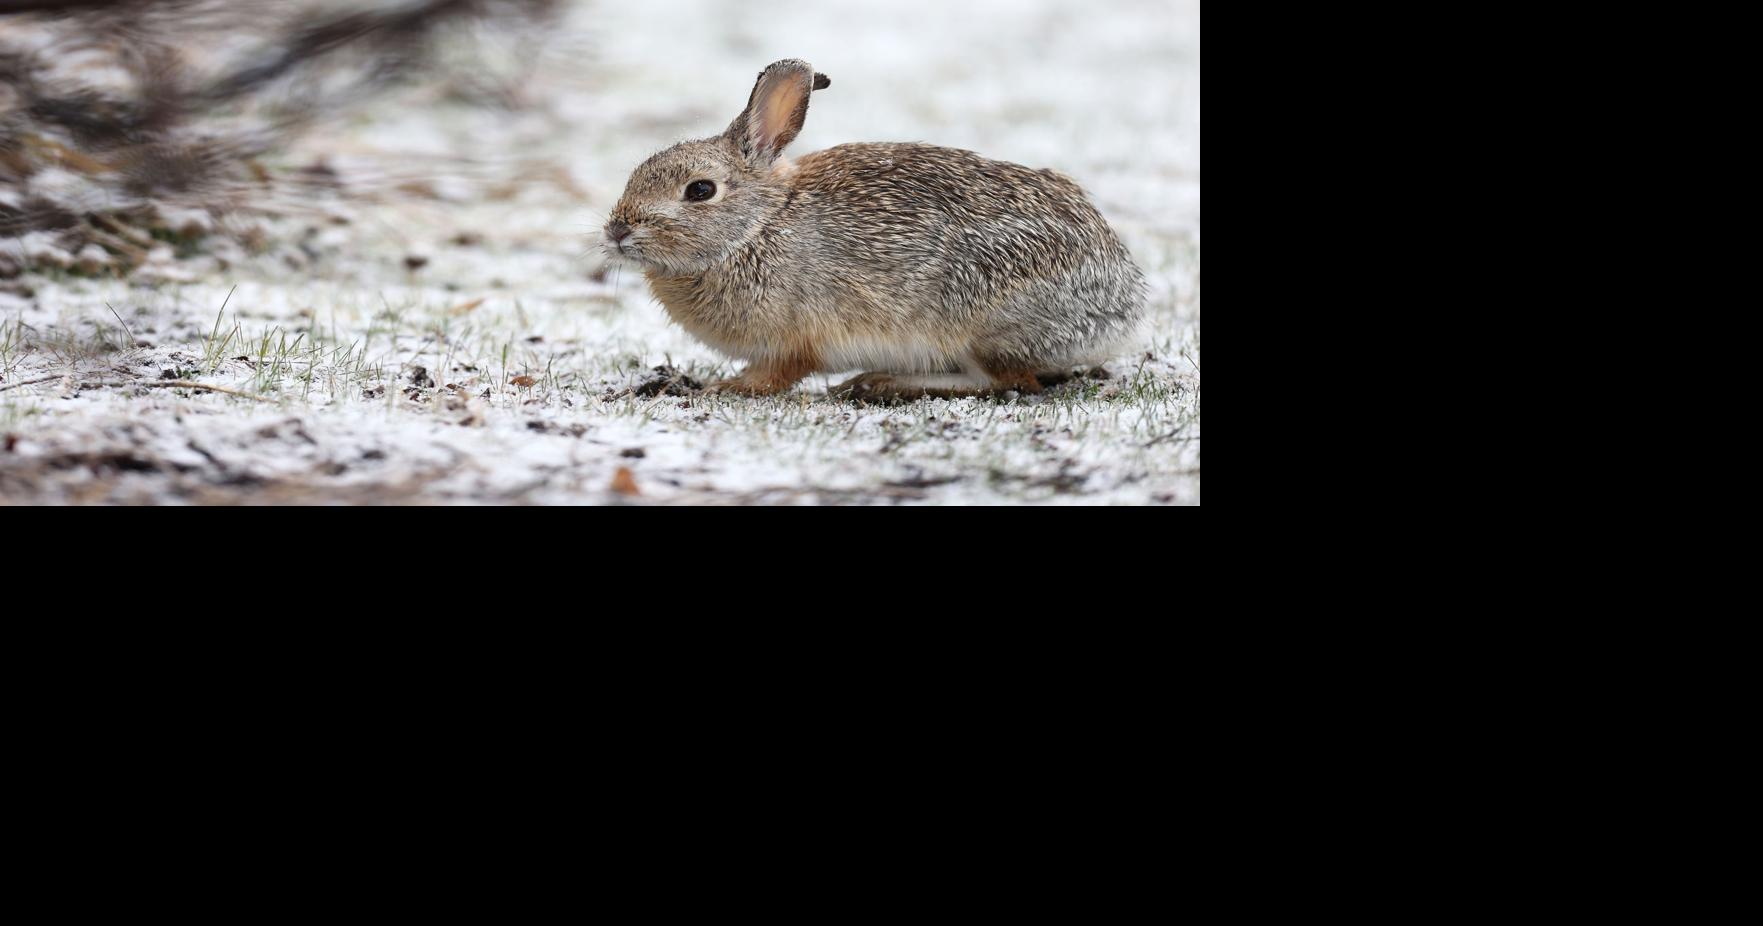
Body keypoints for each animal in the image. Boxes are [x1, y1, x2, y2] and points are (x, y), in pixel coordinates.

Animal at [603, 59, 1145, 401]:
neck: (756, 228)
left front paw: (724, 387)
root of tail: (1123, 304)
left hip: (984, 322)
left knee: (1009, 381)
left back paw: (877, 383)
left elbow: (774, 374)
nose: (617, 232)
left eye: (700, 190)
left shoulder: (797, 338)